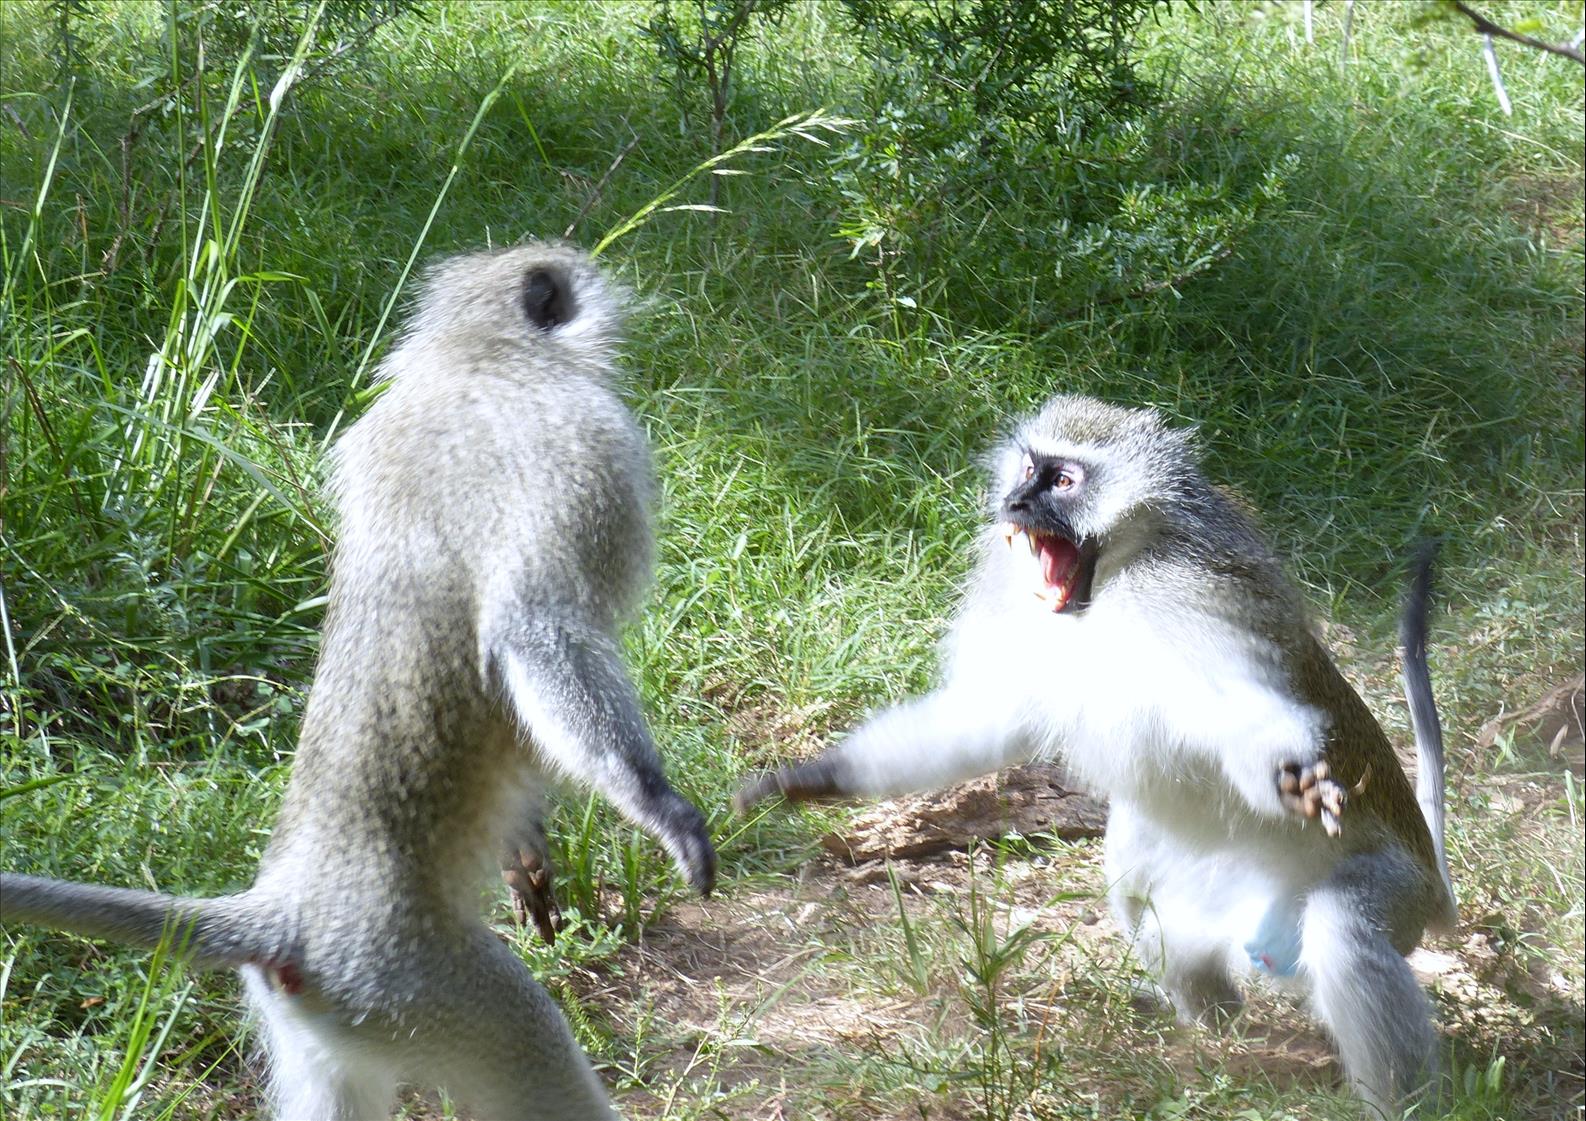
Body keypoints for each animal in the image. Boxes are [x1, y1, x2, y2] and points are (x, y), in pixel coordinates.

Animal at [2, 242, 716, 1121]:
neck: (474, 354)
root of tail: (287, 914)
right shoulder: (582, 440)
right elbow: (536, 629)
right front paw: (659, 806)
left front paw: (528, 850)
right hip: (420, 985)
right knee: (528, 1035)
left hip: (331, 1014)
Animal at [736, 395, 1456, 1114]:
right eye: (1027, 467)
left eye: (1062, 480)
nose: (1014, 502)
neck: (1104, 599)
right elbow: (987, 722)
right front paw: (816, 777)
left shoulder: (1189, 599)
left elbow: (1238, 707)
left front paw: (1291, 777)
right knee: (1138, 888)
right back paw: (1213, 1023)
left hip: (1396, 890)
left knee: (1345, 937)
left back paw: (1399, 1106)